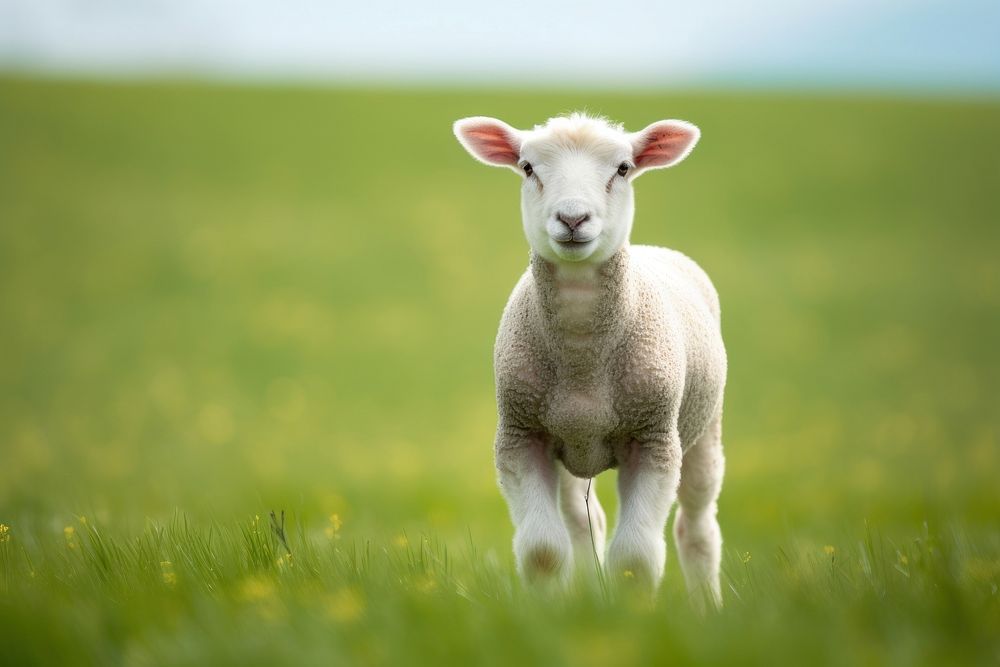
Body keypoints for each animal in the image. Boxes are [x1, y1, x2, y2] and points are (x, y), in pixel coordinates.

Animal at [453, 112, 726, 609]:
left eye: (623, 168)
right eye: (527, 167)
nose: (572, 217)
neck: (583, 361)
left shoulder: (654, 438)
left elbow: (635, 556)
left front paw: (633, 611)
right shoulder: (521, 435)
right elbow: (543, 550)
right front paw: (549, 610)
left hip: (703, 427)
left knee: (696, 525)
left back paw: (707, 606)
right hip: (571, 444)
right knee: (585, 520)